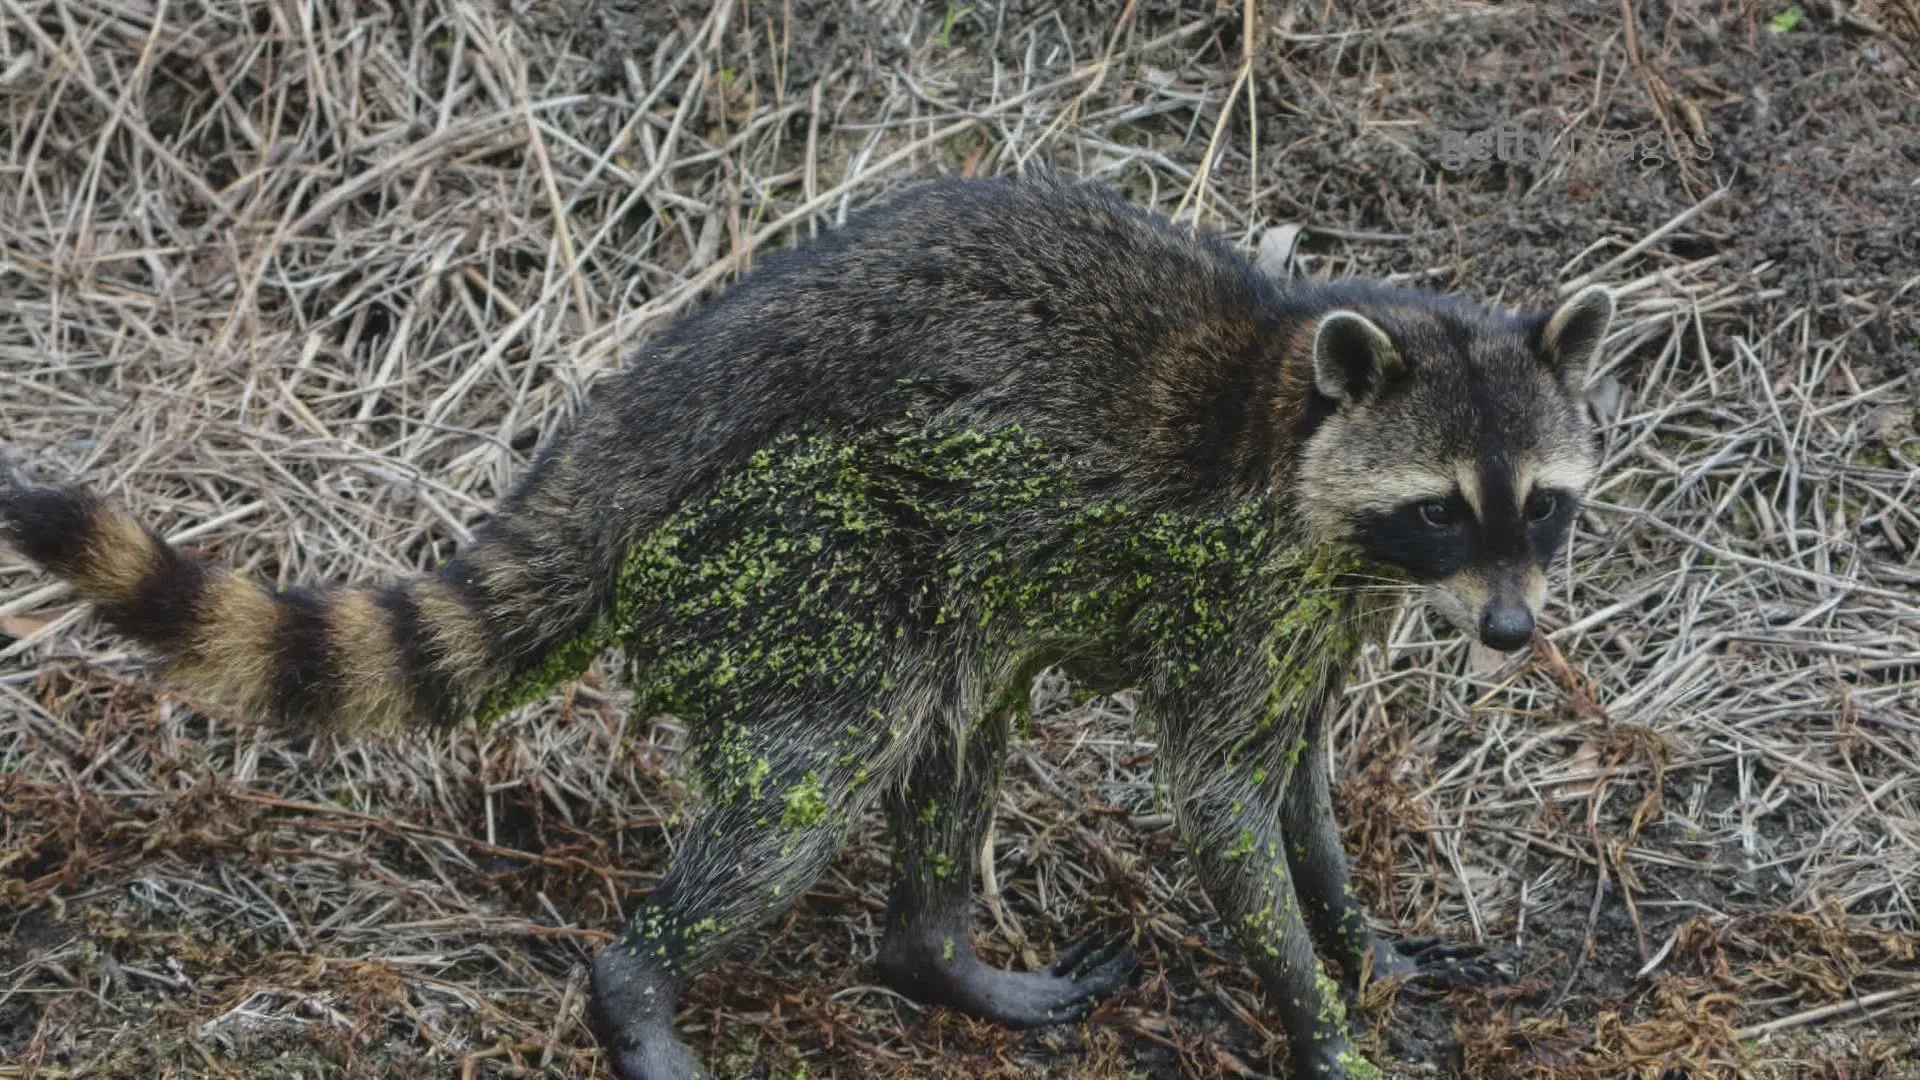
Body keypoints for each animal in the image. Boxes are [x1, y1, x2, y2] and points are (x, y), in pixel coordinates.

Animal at [0, 172, 1613, 1080]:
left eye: (1538, 508)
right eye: (1442, 511)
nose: (1512, 637)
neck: (1292, 397)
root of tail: (657, 397)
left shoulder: (1320, 620)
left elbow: (1297, 791)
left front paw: (1363, 943)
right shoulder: (1238, 584)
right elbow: (1222, 802)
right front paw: (1317, 1019)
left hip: (924, 589)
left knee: (963, 725)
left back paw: (932, 952)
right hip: (801, 550)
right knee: (816, 777)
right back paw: (642, 988)